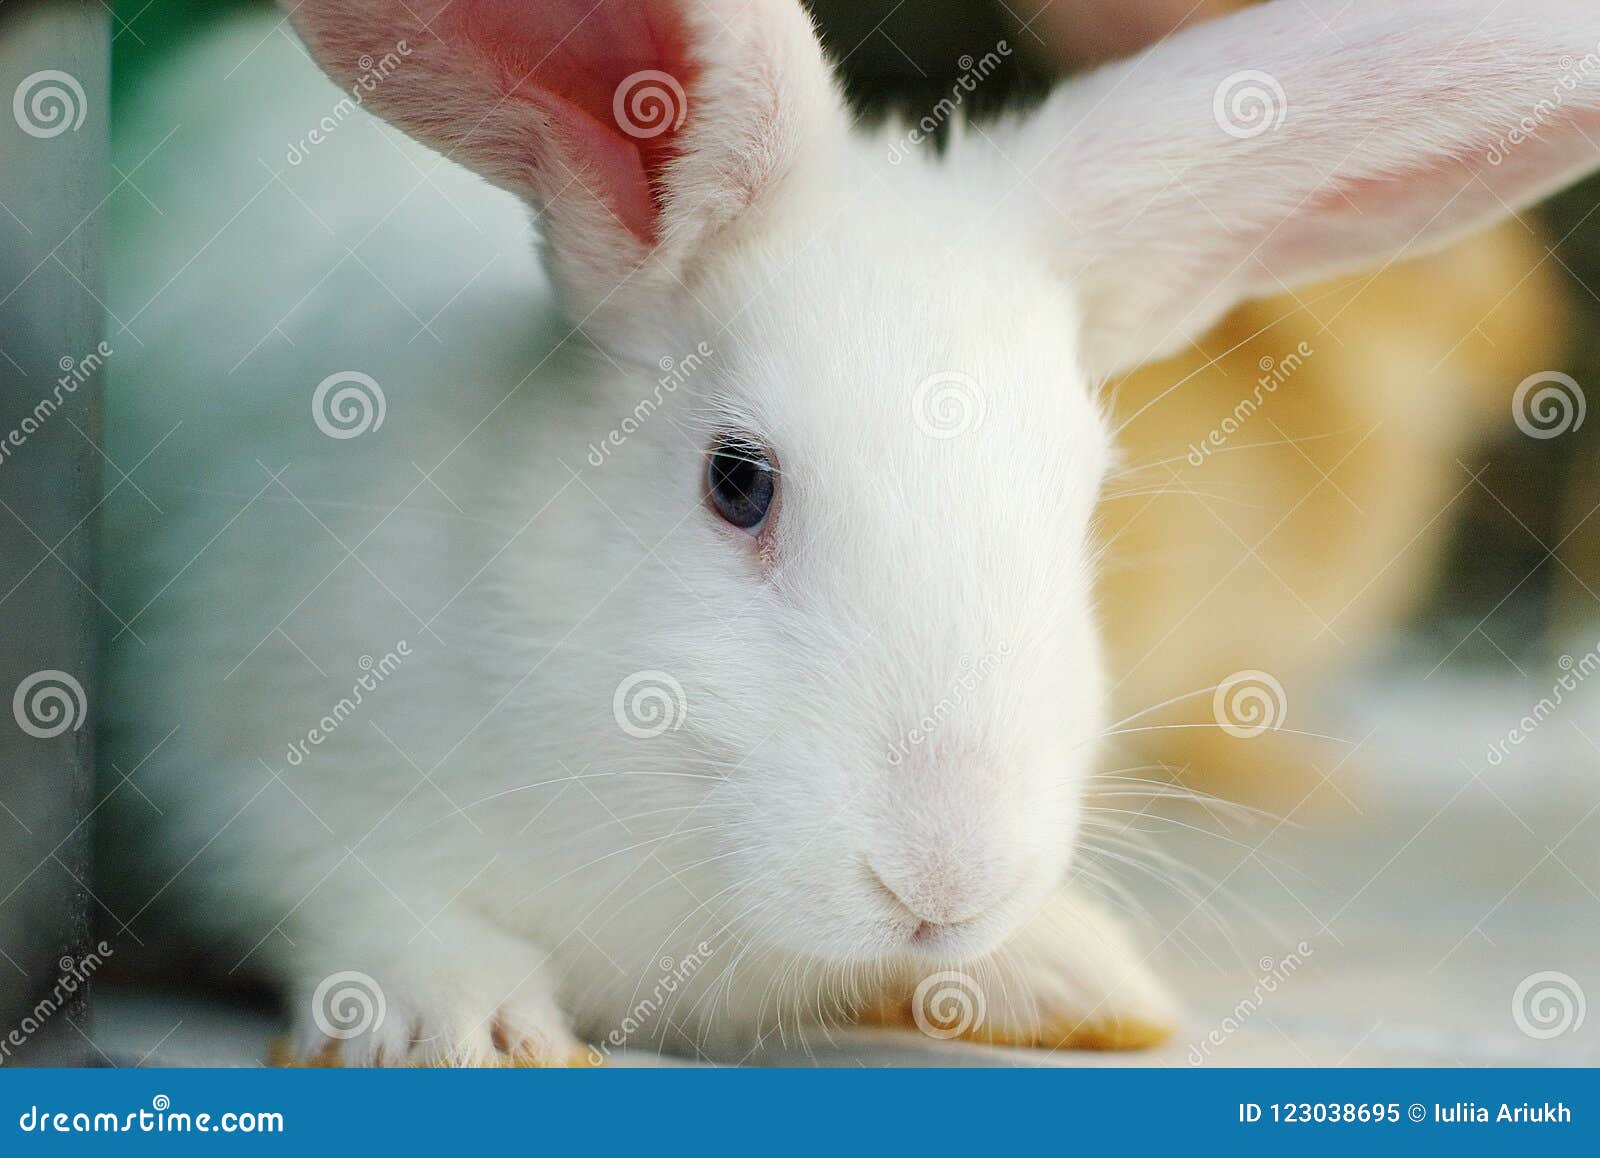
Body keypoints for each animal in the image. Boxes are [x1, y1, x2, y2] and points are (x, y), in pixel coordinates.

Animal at [98, 0, 1600, 1065]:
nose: (944, 879)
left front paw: (1073, 972)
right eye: (737, 481)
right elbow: (349, 897)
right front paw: (464, 1028)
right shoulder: (242, 767)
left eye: (1085, 496)